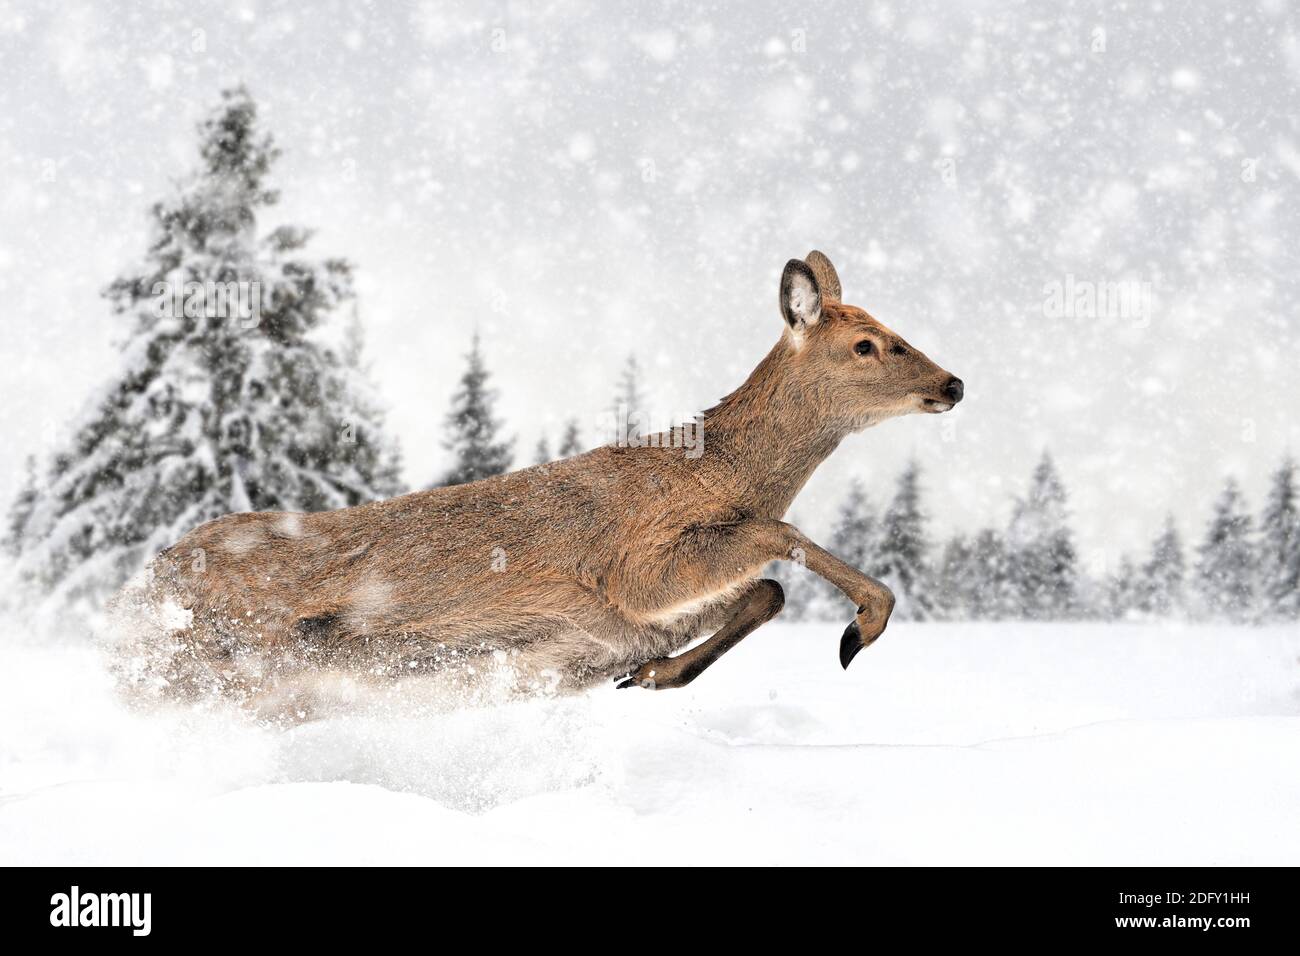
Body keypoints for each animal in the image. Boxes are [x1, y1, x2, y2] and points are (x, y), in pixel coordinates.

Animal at [118, 251, 963, 713]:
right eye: (866, 344)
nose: (952, 383)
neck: (715, 473)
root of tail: (131, 595)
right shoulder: (635, 566)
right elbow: (780, 540)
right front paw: (865, 625)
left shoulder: (654, 608)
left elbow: (766, 591)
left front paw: (652, 676)